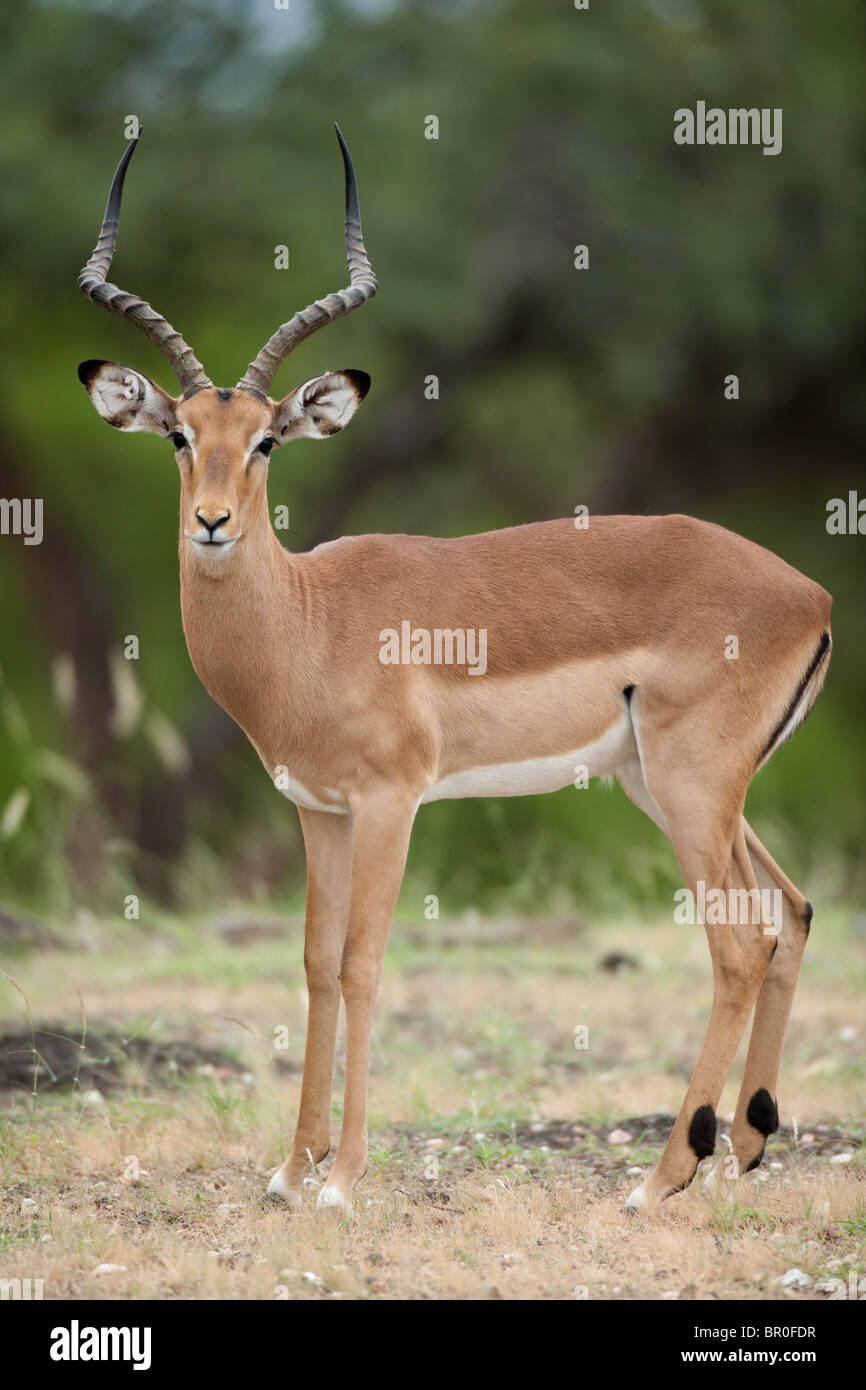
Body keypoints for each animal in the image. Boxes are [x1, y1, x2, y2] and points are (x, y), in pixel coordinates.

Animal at [78, 127, 832, 1215]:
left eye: (265, 441)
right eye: (180, 434)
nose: (211, 523)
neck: (307, 621)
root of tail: (810, 594)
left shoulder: (392, 802)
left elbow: (363, 963)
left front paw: (344, 1178)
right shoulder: (318, 811)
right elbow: (314, 964)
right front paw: (289, 1170)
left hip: (691, 790)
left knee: (739, 943)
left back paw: (658, 1180)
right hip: (663, 785)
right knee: (791, 911)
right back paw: (740, 1151)